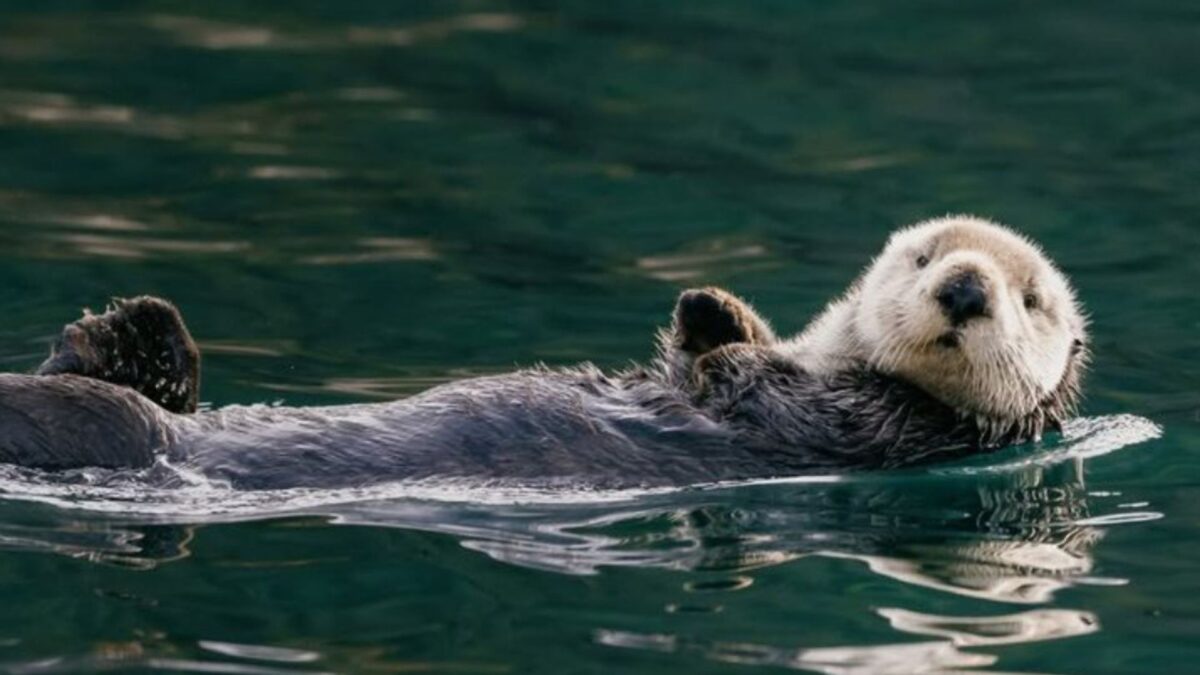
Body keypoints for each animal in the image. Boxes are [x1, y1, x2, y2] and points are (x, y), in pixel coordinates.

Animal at [0, 216, 1088, 489]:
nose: (965, 288)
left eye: (1030, 298)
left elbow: (744, 387)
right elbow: (704, 354)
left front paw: (722, 333)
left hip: (120, 429)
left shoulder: (880, 426)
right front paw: (710, 306)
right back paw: (141, 330)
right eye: (924, 255)